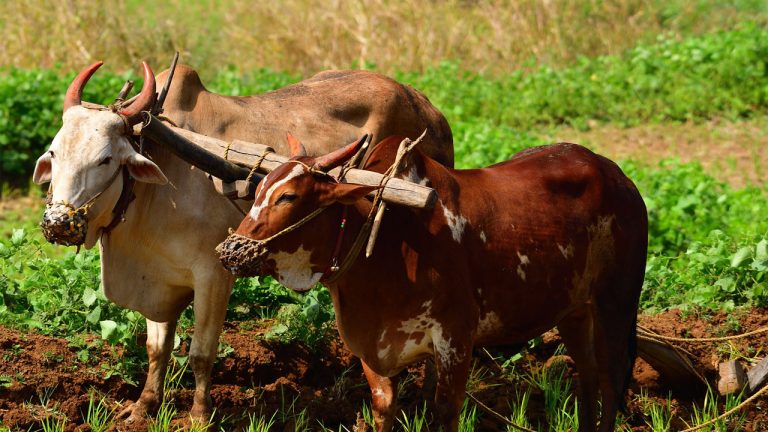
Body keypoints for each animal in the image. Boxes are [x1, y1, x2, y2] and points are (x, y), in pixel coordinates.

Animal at [31, 62, 453, 423]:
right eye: (54, 152)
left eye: (104, 159)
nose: (56, 223)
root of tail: (428, 108)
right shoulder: (160, 278)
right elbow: (157, 349)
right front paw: (143, 408)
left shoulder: (214, 274)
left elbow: (201, 353)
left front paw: (199, 416)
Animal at [217, 135, 648, 432]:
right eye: (258, 190)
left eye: (287, 197)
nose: (229, 251)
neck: (386, 237)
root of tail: (617, 175)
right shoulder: (373, 350)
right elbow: (384, 407)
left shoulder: (455, 340)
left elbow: (443, 412)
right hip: (574, 311)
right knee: (587, 377)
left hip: (617, 303)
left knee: (610, 378)